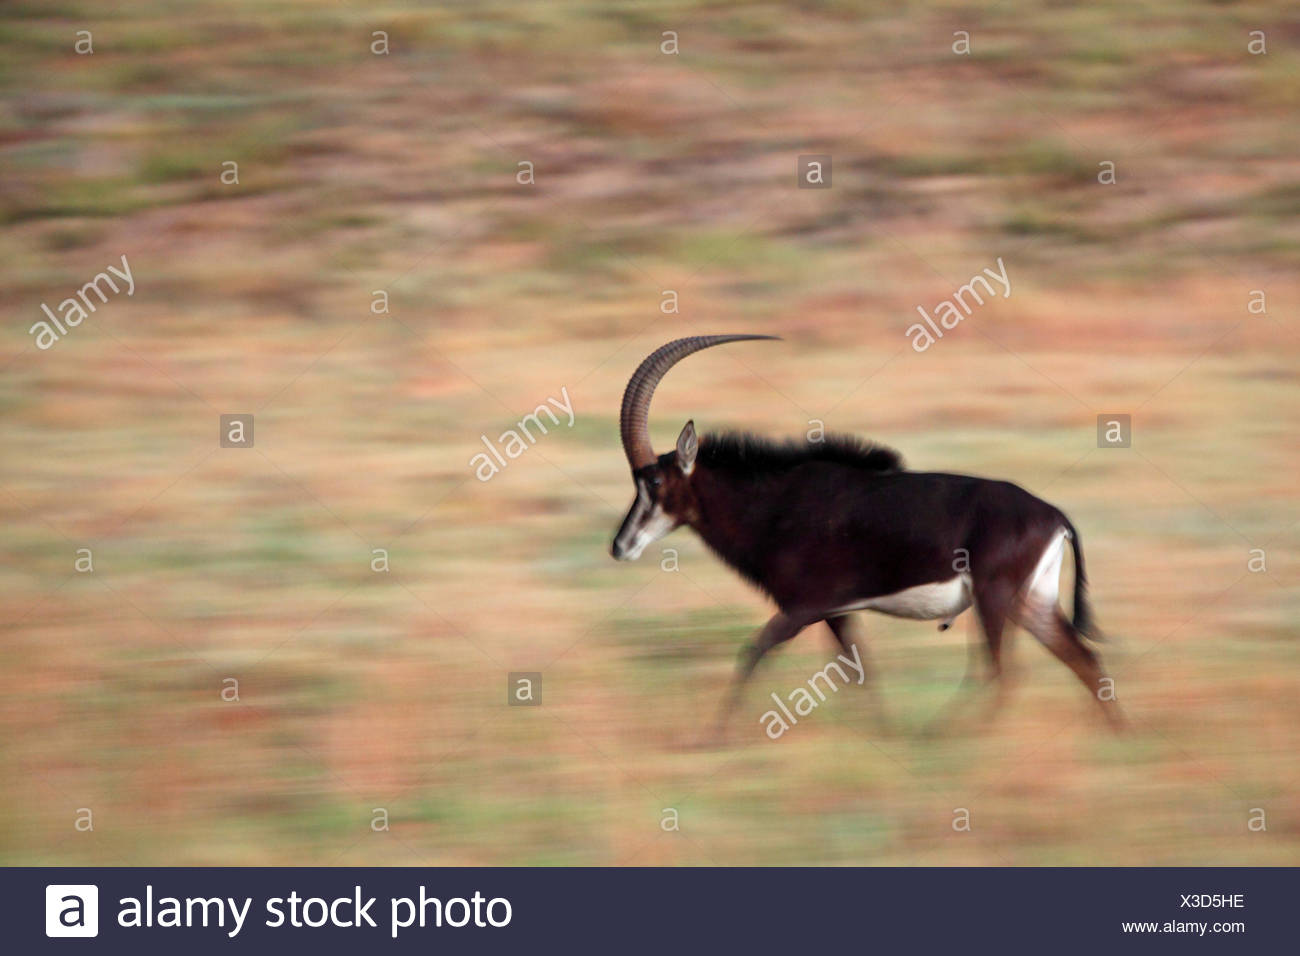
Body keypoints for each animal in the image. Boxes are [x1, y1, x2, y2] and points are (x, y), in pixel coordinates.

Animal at [610, 335, 1123, 739]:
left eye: (654, 482)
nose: (620, 546)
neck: (774, 503)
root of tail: (1052, 514)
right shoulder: (837, 612)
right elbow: (862, 672)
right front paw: (885, 732)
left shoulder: (802, 609)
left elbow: (752, 653)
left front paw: (712, 737)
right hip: (1031, 602)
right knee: (1084, 661)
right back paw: (1119, 738)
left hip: (995, 599)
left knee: (1003, 673)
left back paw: (945, 735)